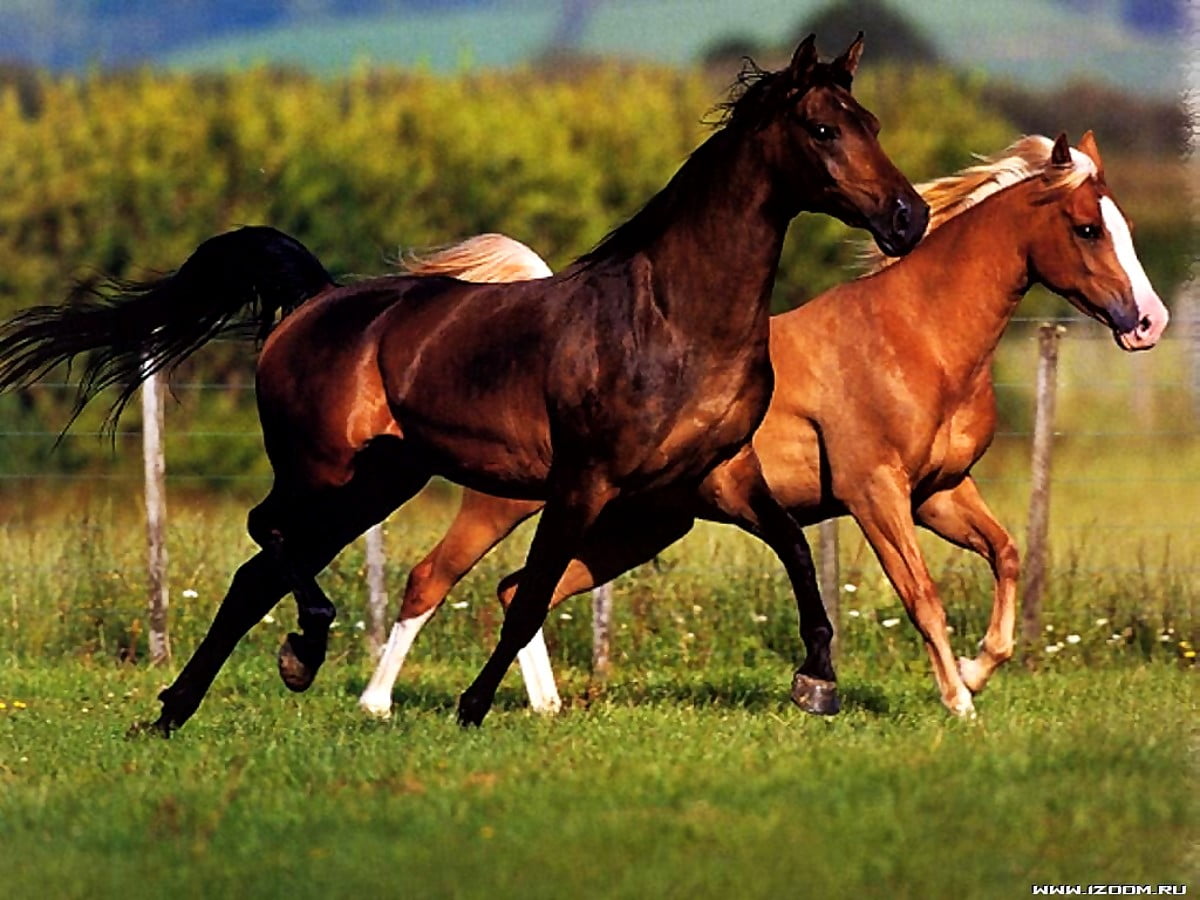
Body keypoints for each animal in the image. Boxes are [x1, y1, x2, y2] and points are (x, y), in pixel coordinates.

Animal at [0, 34, 928, 733]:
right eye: (821, 128)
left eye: (872, 122)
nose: (907, 216)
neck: (675, 319)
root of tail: (317, 300)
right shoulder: (585, 481)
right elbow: (530, 596)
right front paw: (473, 706)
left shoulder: (719, 474)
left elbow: (798, 551)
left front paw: (817, 681)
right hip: (320, 468)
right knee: (269, 534)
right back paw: (299, 650)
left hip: (382, 479)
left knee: (255, 572)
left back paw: (183, 707)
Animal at [357, 132, 1168, 720]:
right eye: (1087, 228)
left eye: (1126, 226)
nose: (1149, 323)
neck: (916, 336)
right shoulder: (876, 492)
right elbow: (922, 594)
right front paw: (958, 703)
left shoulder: (938, 493)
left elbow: (1005, 555)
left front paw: (976, 668)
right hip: (512, 504)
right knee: (434, 580)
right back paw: (378, 706)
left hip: (641, 523)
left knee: (518, 590)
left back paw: (547, 707)